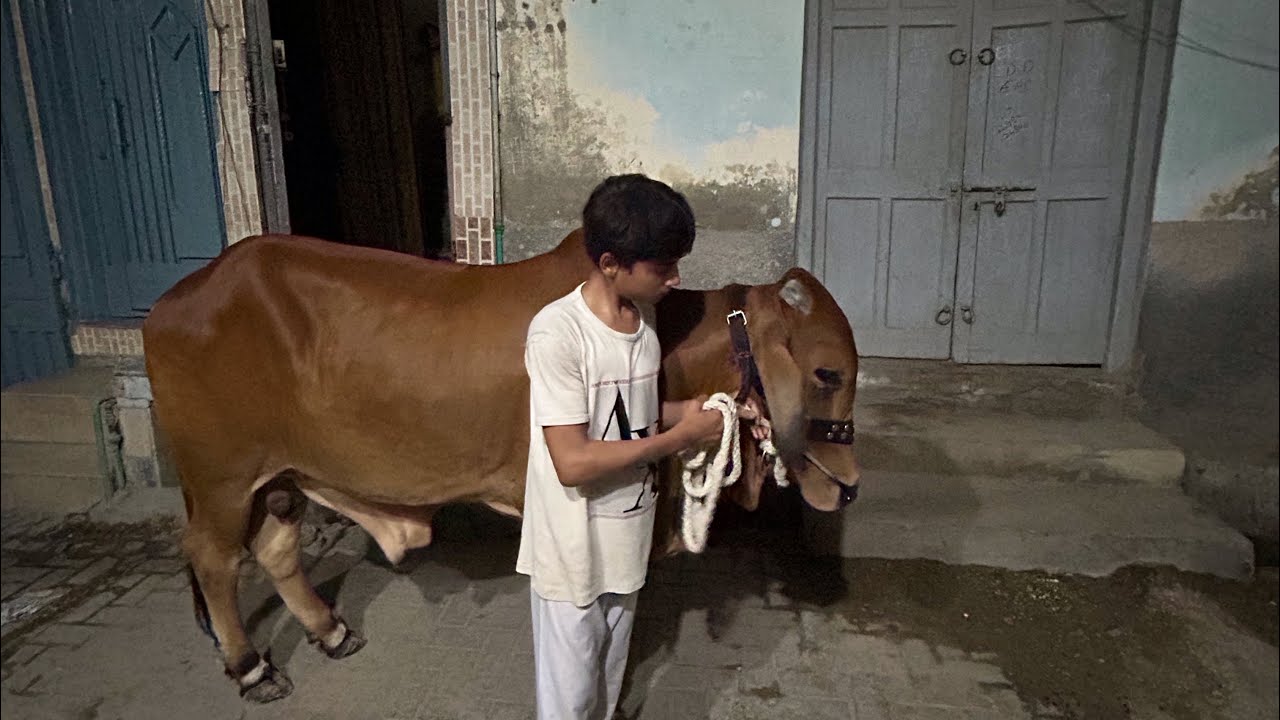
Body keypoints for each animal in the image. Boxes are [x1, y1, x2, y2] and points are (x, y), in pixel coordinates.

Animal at [143, 230, 861, 702]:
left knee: (275, 547)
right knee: (211, 557)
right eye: (827, 373)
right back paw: (251, 667)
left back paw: (330, 630)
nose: (849, 488)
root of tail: (176, 298)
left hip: (280, 478)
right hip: (221, 477)